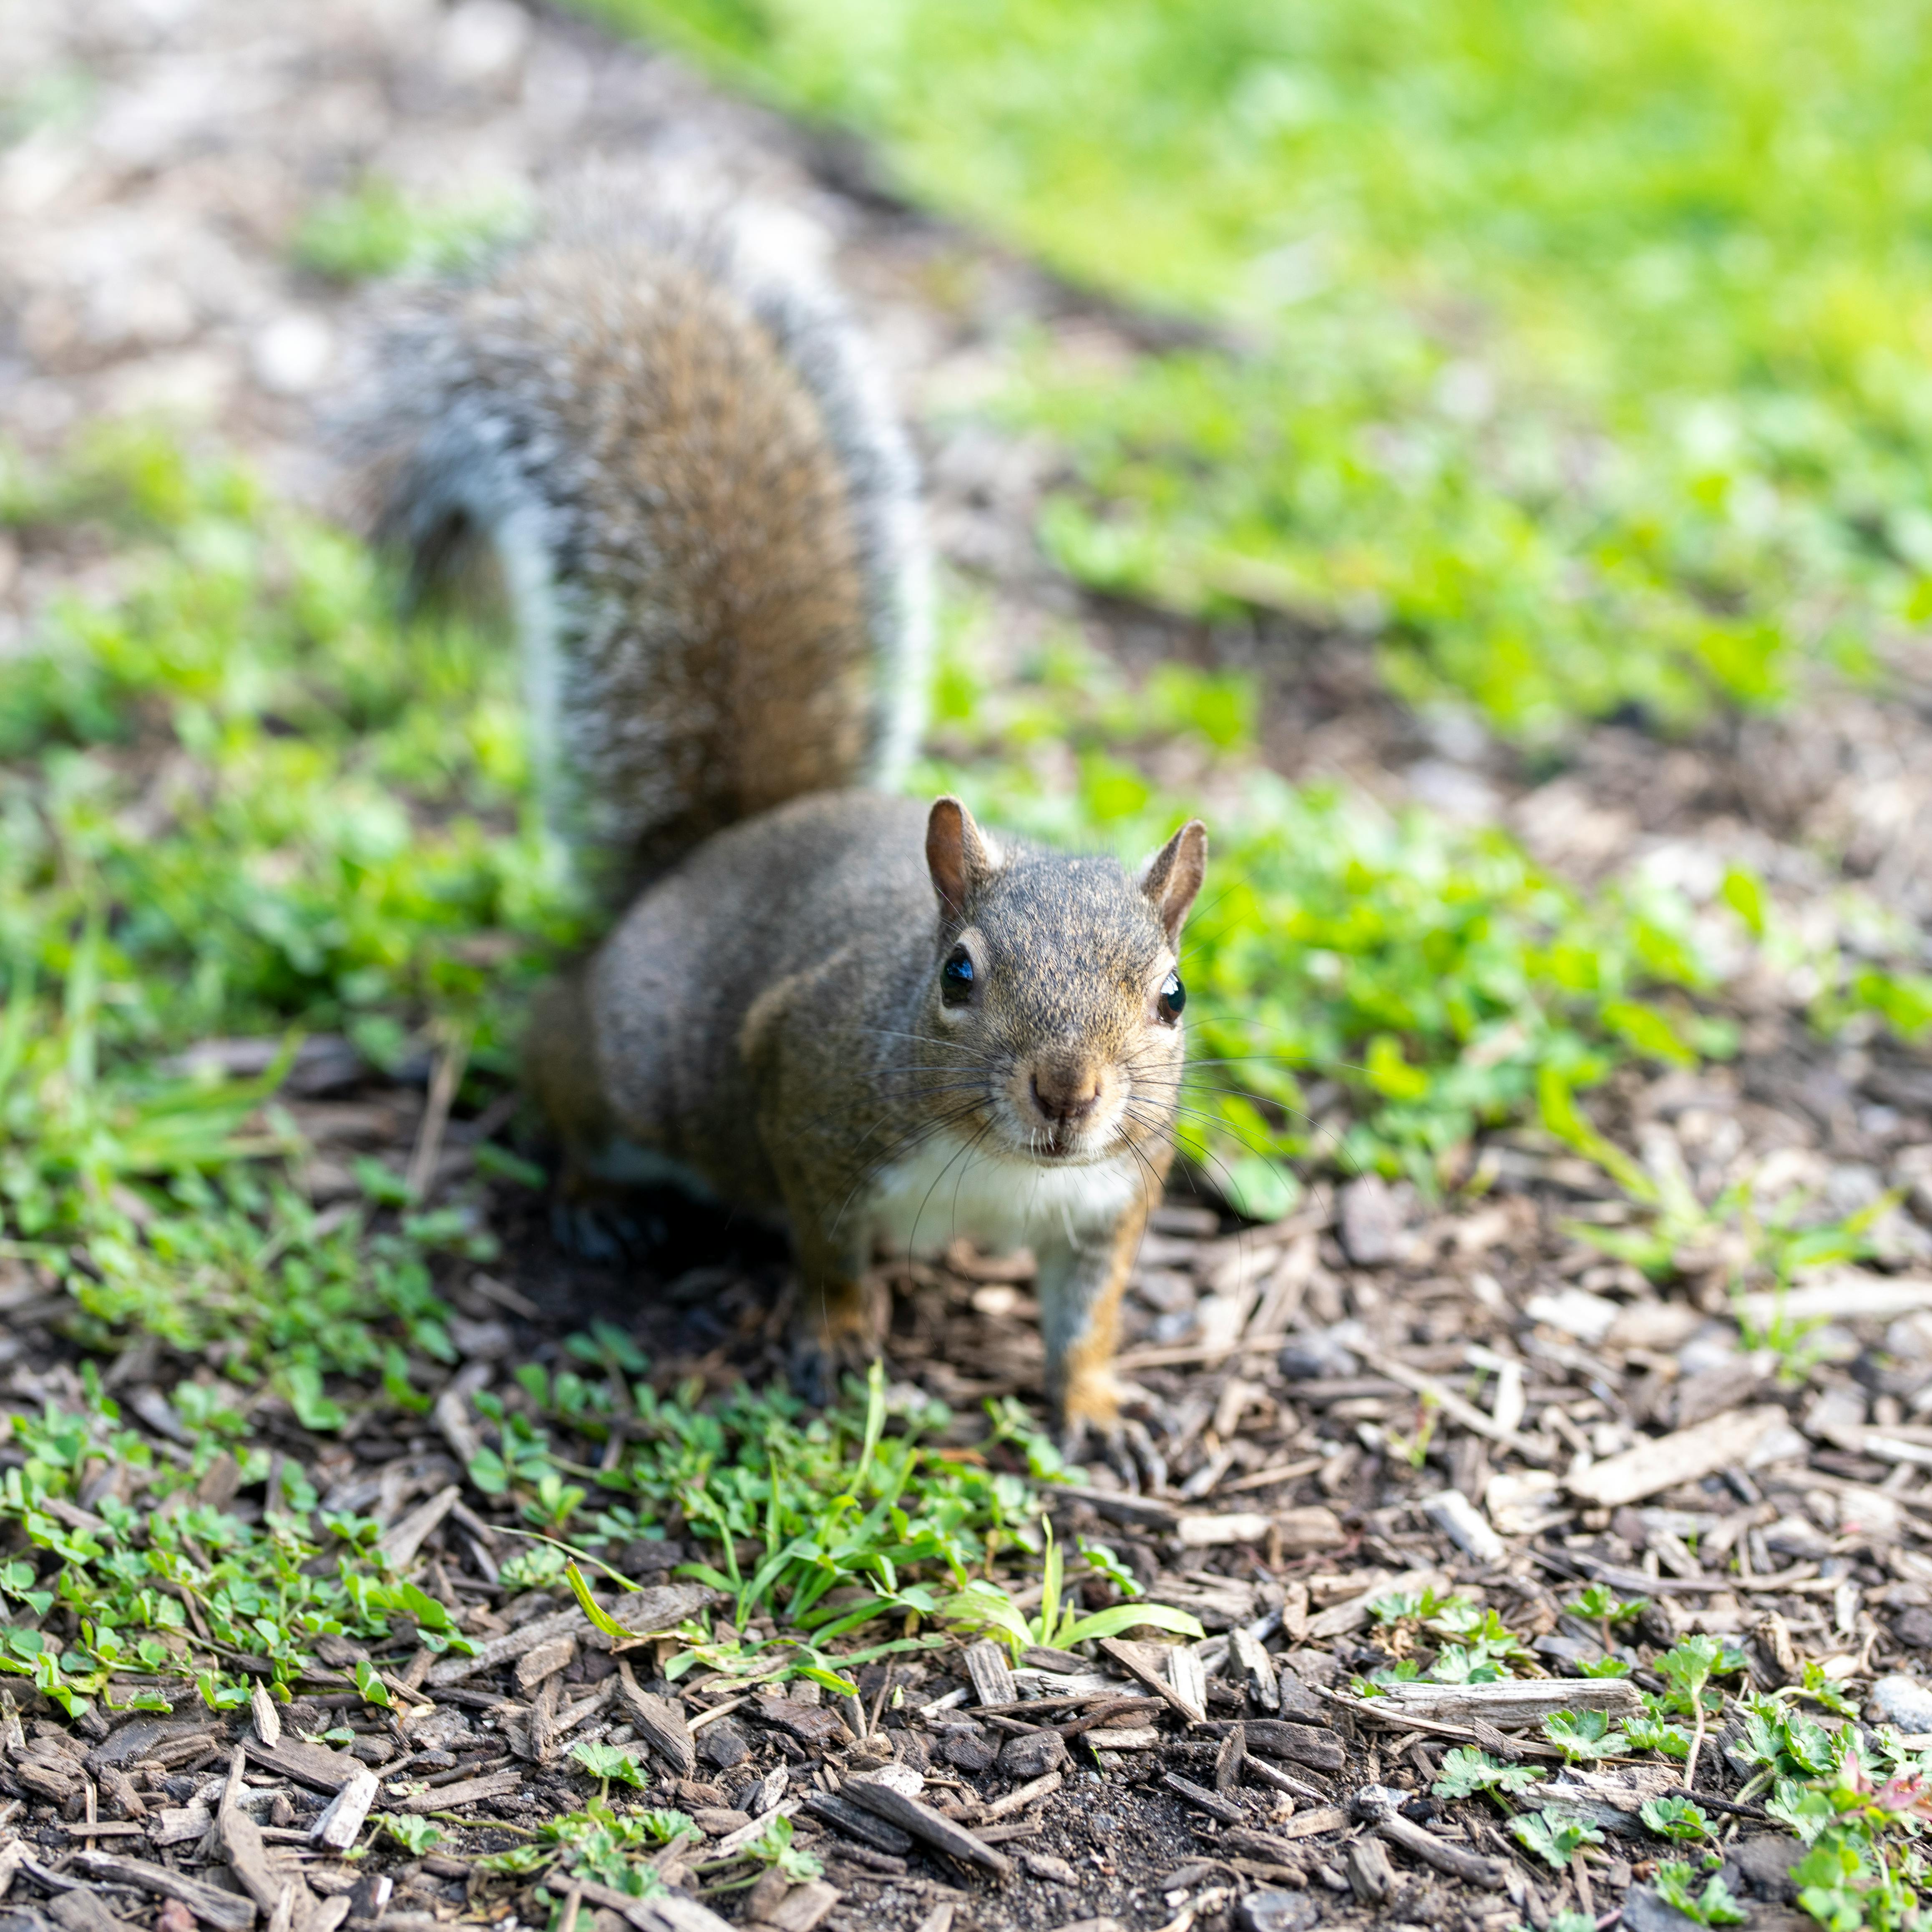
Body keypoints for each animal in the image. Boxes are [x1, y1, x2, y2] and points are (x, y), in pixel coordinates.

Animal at [348, 186, 1209, 1439]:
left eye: (1173, 998)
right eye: (957, 974)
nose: (1066, 1091)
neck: (1011, 1167)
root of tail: (694, 863)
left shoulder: (1110, 1200)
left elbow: (1087, 1311)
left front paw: (1092, 1400)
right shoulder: (807, 1099)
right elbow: (828, 1252)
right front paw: (843, 1338)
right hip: (622, 1063)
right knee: (561, 1090)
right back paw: (597, 1199)